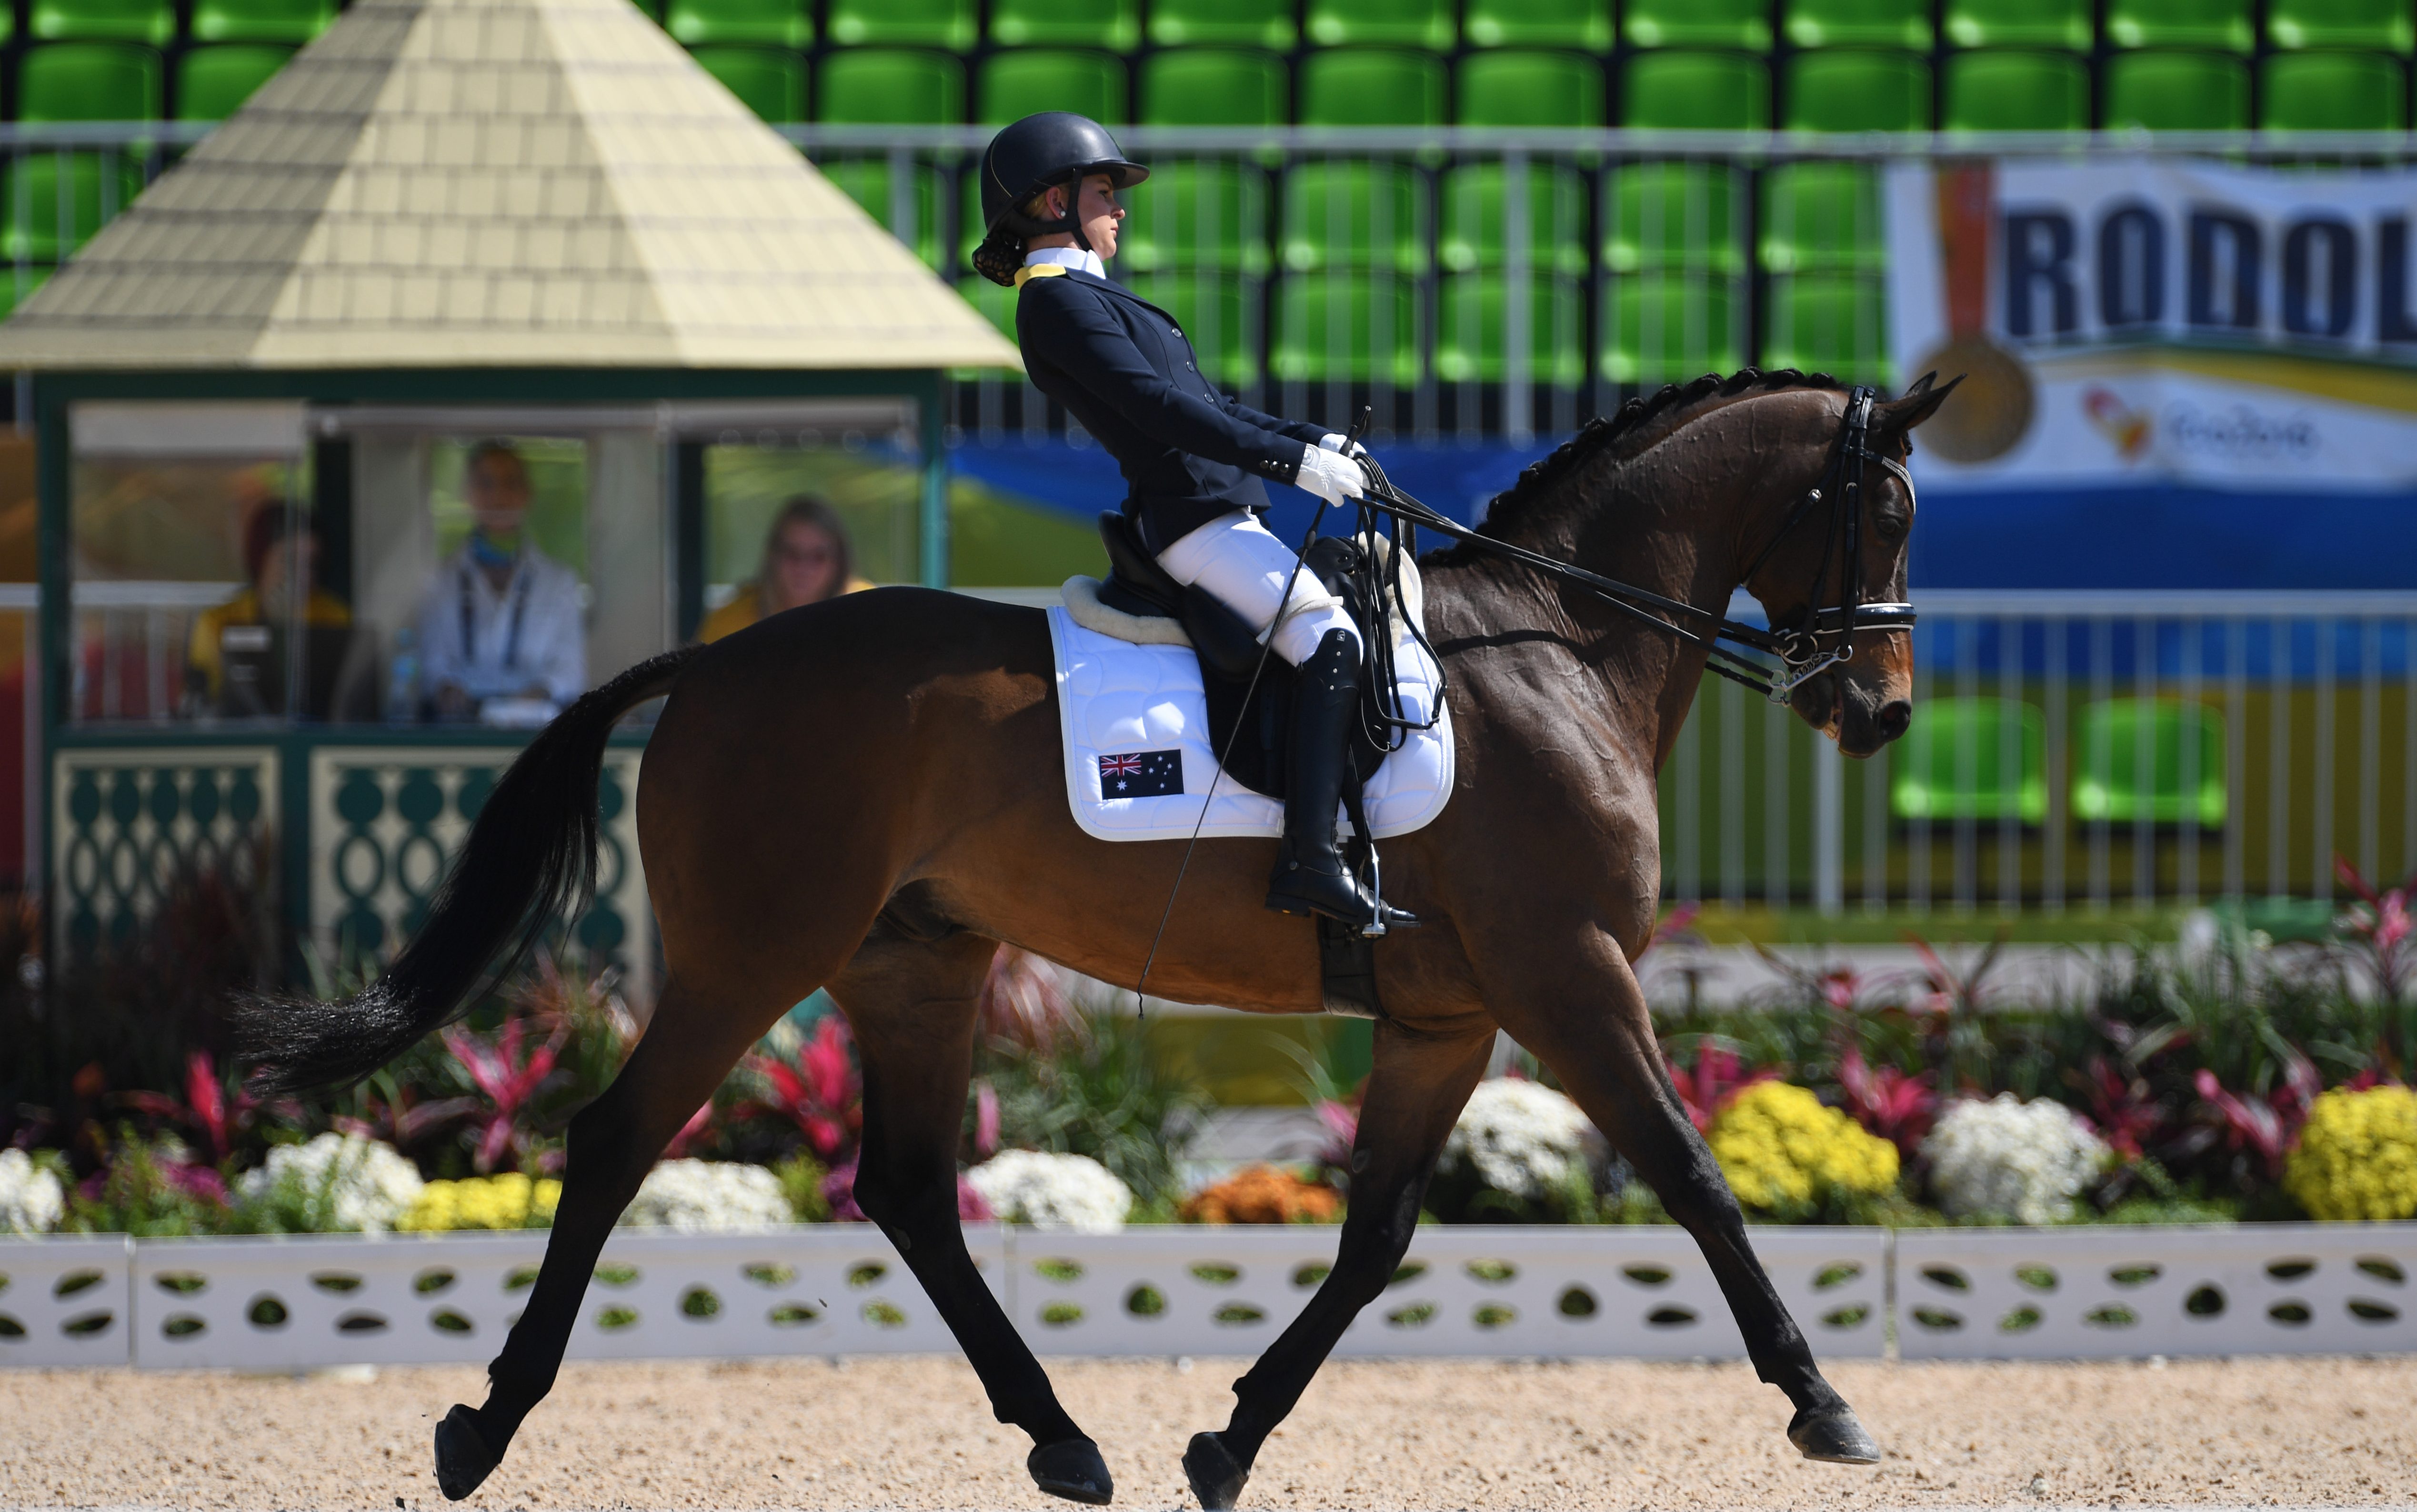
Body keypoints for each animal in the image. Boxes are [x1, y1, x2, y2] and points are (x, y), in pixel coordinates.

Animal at [243, 368, 1954, 1509]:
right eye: (1878, 510)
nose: (1879, 715)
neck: (1563, 650)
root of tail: (713, 661)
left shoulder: (1449, 1016)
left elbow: (1375, 1236)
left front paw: (1226, 1437)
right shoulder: (1569, 977)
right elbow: (1694, 1174)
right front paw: (1821, 1401)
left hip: (915, 961)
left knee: (909, 1189)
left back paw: (1063, 1436)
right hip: (752, 956)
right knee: (612, 1139)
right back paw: (482, 1425)